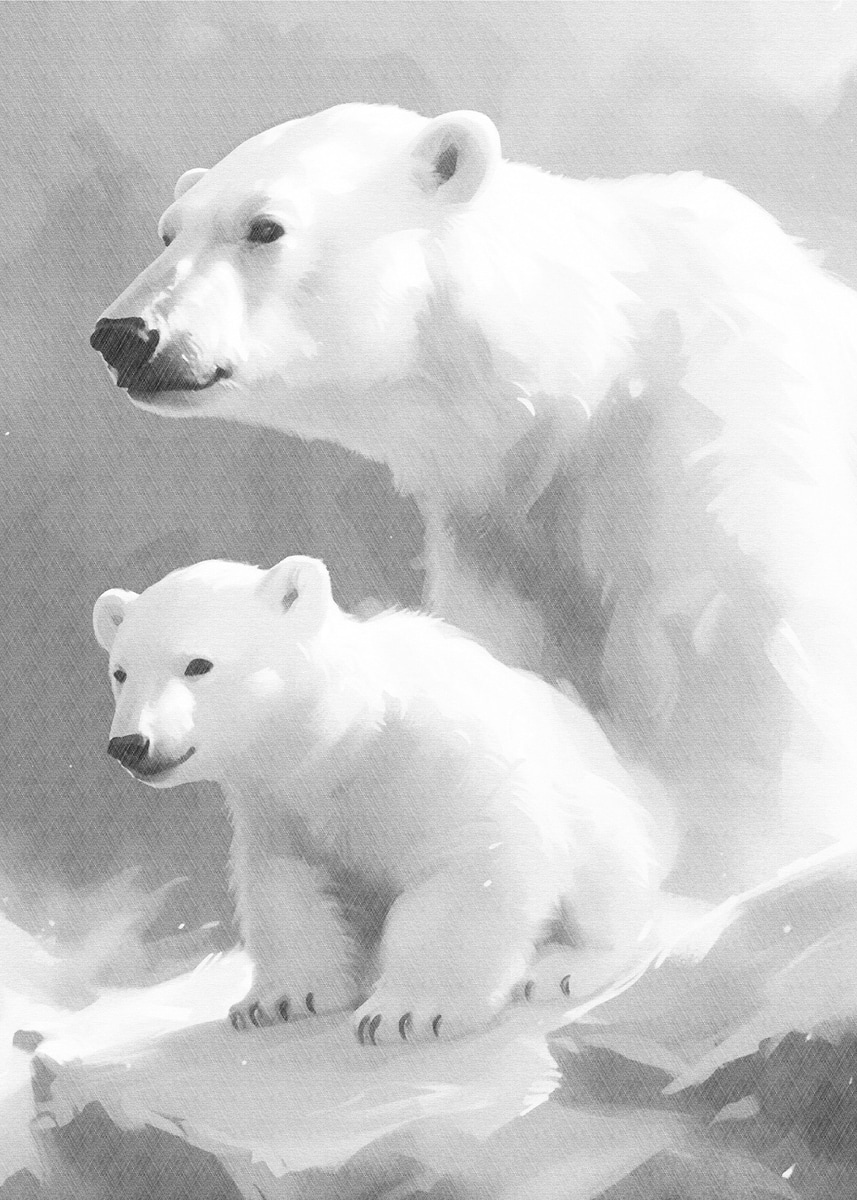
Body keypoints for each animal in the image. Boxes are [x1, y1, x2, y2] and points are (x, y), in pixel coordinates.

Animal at [90, 103, 857, 898]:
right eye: (169, 230)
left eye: (265, 226)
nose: (123, 333)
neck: (589, 374)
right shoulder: (495, 529)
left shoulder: (713, 435)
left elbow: (739, 657)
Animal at [92, 554, 671, 1042]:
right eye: (120, 672)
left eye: (198, 664)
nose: (130, 744)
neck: (343, 742)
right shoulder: (278, 807)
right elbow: (286, 886)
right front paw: (278, 1001)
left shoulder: (441, 760)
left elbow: (474, 863)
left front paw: (410, 1011)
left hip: (602, 810)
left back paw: (564, 968)